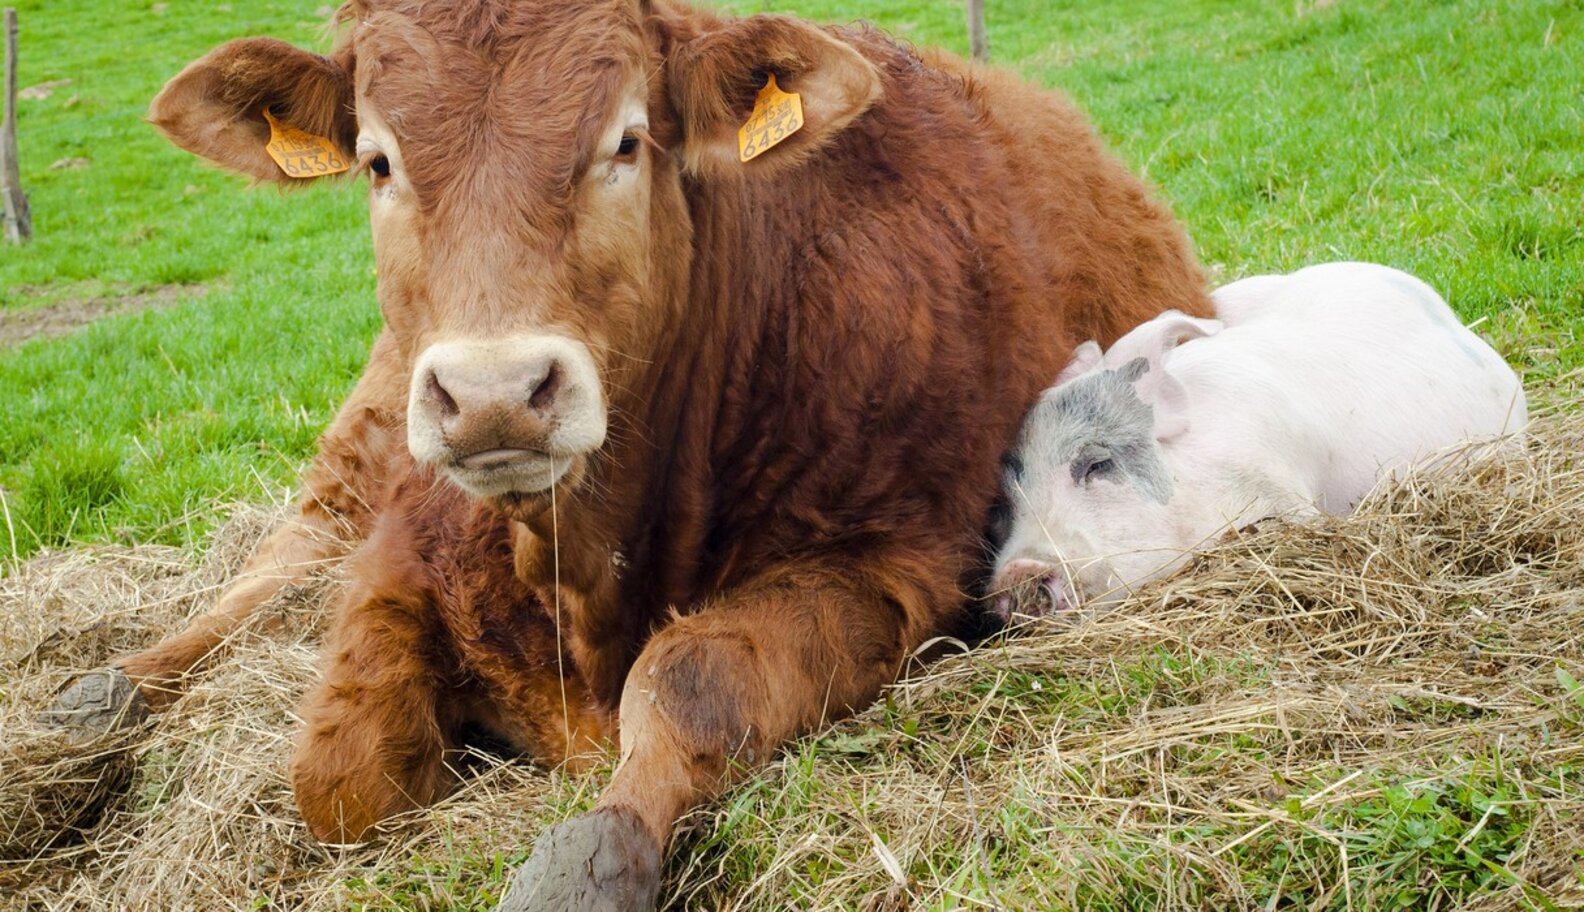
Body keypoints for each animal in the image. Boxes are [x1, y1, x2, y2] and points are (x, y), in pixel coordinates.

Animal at [51, 1, 1213, 906]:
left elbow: (688, 677)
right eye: (379, 161)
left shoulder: (898, 561)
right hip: (372, 425)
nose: (494, 394)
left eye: (625, 141)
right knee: (282, 561)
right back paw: (96, 700)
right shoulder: (401, 547)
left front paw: (590, 853)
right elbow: (337, 773)